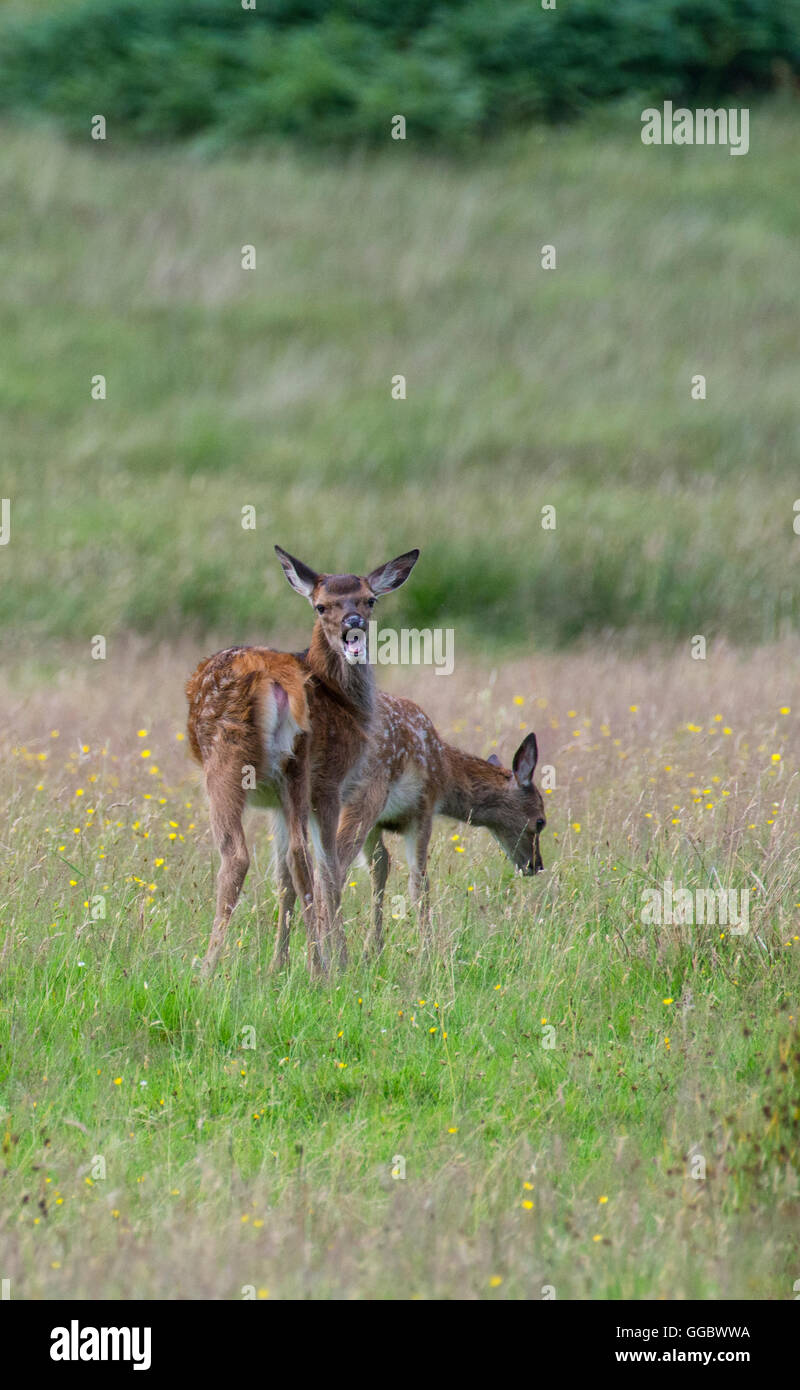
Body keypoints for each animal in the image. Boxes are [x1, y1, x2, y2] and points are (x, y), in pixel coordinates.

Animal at [185, 545, 419, 979]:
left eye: (370, 599)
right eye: (321, 605)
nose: (353, 624)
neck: (342, 700)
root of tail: (277, 679)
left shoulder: (310, 790)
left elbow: (297, 875)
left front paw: (298, 960)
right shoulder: (317, 786)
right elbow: (306, 873)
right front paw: (303, 960)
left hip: (243, 764)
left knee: (258, 856)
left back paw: (217, 968)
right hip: (278, 767)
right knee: (293, 858)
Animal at [334, 692, 546, 954]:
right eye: (541, 821)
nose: (536, 865)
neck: (445, 772)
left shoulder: (378, 823)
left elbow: (381, 866)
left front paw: (372, 949)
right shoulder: (422, 809)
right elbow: (419, 882)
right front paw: (427, 952)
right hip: (362, 792)